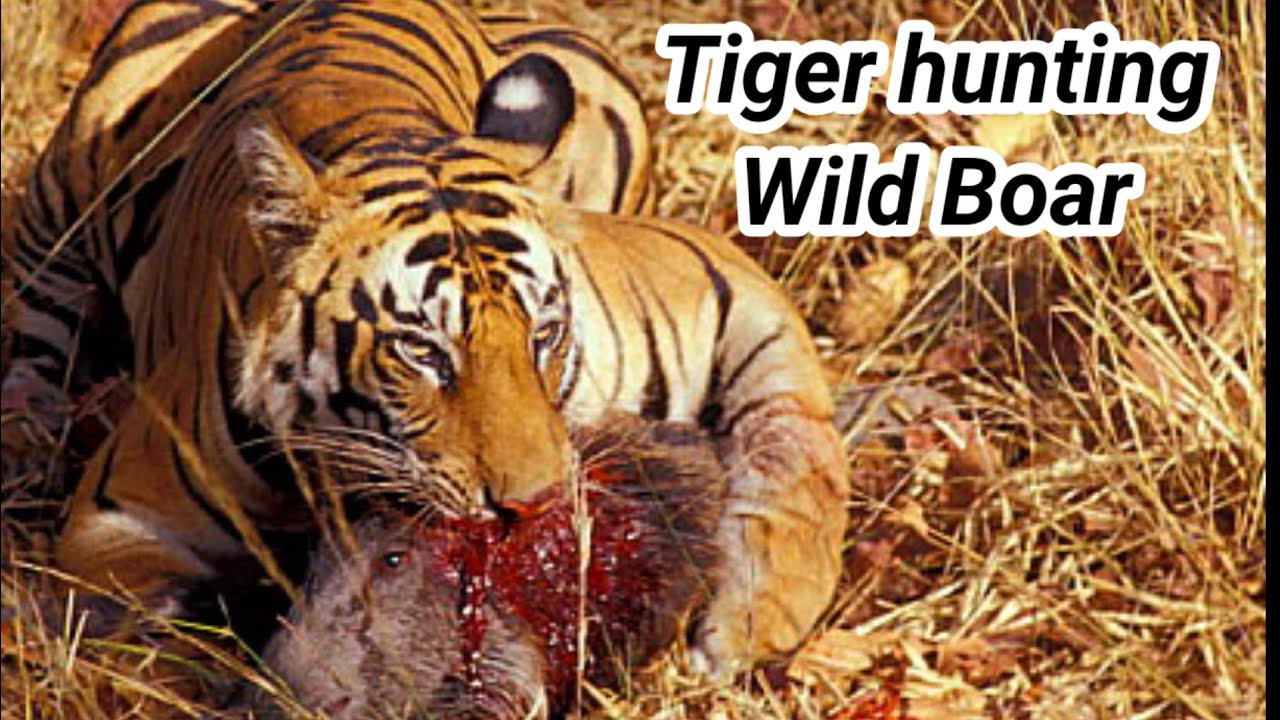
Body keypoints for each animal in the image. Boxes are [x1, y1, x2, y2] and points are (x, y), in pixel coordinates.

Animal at [2, 0, 849, 679]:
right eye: (423, 353)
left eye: (545, 335)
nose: (533, 505)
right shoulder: (117, 517)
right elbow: (155, 634)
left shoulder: (716, 277)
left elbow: (799, 446)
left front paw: (750, 623)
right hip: (74, 174)